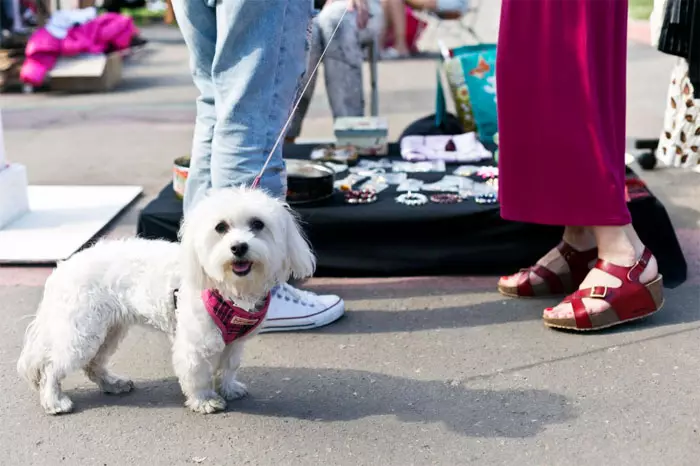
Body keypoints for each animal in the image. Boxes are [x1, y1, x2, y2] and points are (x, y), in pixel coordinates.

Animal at [16, 187, 314, 414]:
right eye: (220, 227)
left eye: (258, 224)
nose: (239, 247)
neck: (228, 290)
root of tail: (64, 266)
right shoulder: (195, 343)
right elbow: (197, 374)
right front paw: (204, 400)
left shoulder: (234, 343)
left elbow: (229, 367)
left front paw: (229, 388)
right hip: (81, 332)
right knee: (52, 367)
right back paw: (54, 400)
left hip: (108, 330)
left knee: (93, 364)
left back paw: (112, 383)